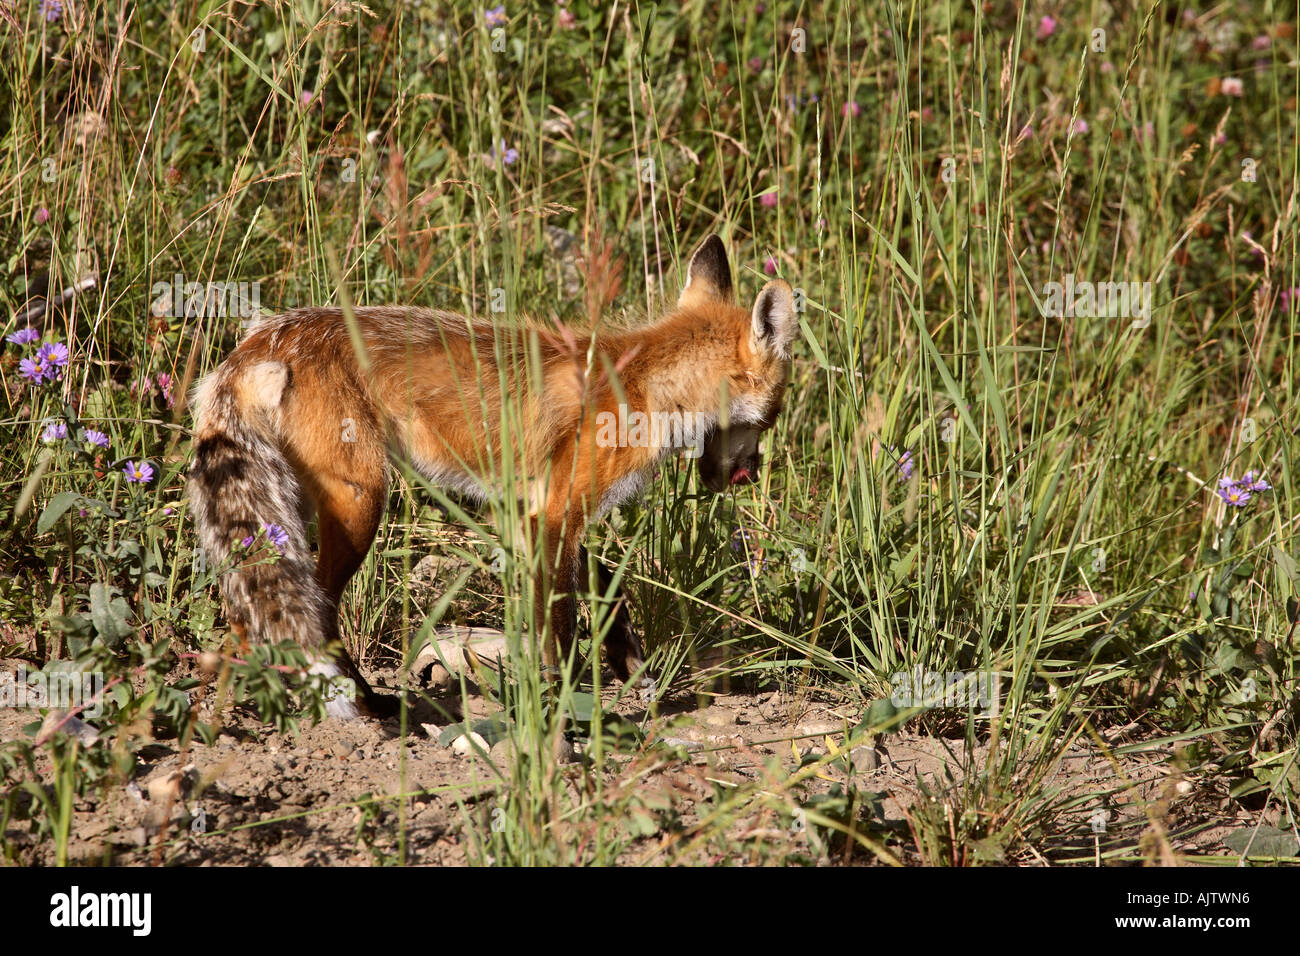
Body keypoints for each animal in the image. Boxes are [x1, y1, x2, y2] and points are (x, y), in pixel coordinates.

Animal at [187, 234, 798, 718]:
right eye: (771, 417)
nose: (748, 475)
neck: (643, 386)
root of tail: (257, 343)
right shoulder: (555, 517)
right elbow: (560, 627)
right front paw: (566, 702)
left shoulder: (544, 512)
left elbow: (609, 590)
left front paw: (635, 673)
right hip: (360, 504)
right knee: (320, 608)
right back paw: (360, 703)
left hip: (282, 517)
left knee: (248, 612)